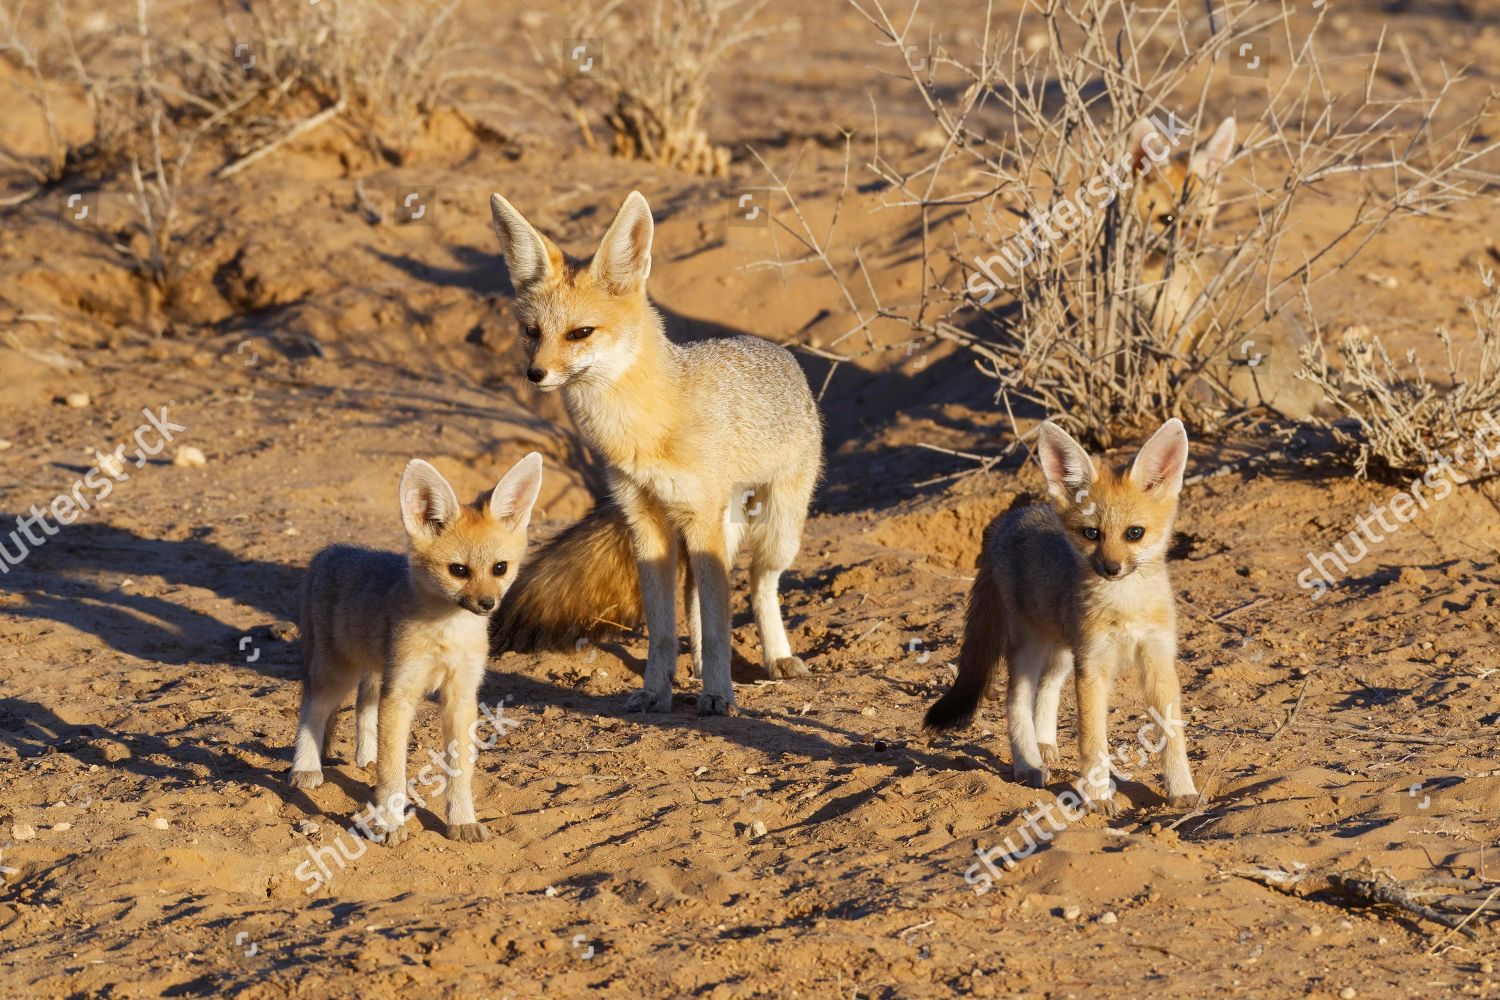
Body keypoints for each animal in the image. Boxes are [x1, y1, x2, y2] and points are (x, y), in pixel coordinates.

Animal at [288, 452, 544, 846]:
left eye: (499, 568)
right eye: (458, 570)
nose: (487, 604)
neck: (447, 633)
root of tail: (331, 551)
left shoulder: (460, 695)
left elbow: (460, 769)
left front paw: (462, 820)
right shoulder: (402, 694)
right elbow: (393, 770)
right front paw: (390, 822)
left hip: (375, 671)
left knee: (364, 705)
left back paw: (365, 757)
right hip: (336, 673)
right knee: (312, 710)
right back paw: (306, 767)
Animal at [485, 190, 823, 716]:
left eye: (580, 333)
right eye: (532, 332)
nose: (535, 374)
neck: (642, 431)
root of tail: (778, 350)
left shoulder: (699, 517)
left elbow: (722, 623)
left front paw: (719, 696)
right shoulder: (644, 521)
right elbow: (664, 629)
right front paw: (656, 690)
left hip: (774, 529)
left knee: (759, 583)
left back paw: (775, 657)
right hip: (714, 532)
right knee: (694, 597)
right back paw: (701, 667)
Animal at [924, 419, 1198, 816]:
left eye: (1134, 533)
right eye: (1091, 533)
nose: (1111, 568)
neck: (1126, 606)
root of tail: (1011, 518)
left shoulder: (1157, 658)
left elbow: (1172, 734)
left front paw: (1182, 789)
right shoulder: (1093, 665)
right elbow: (1092, 740)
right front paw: (1098, 795)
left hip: (1063, 651)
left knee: (1047, 689)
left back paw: (1044, 744)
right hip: (1032, 647)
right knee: (1015, 700)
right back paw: (1028, 762)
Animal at [1127, 116, 1325, 420]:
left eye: (1200, 221)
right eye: (1167, 220)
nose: (1195, 251)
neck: (1155, 270)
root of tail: (1317, 392)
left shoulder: (1182, 326)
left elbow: (1159, 371)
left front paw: (1153, 403)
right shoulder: (1153, 320)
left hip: (1219, 354)